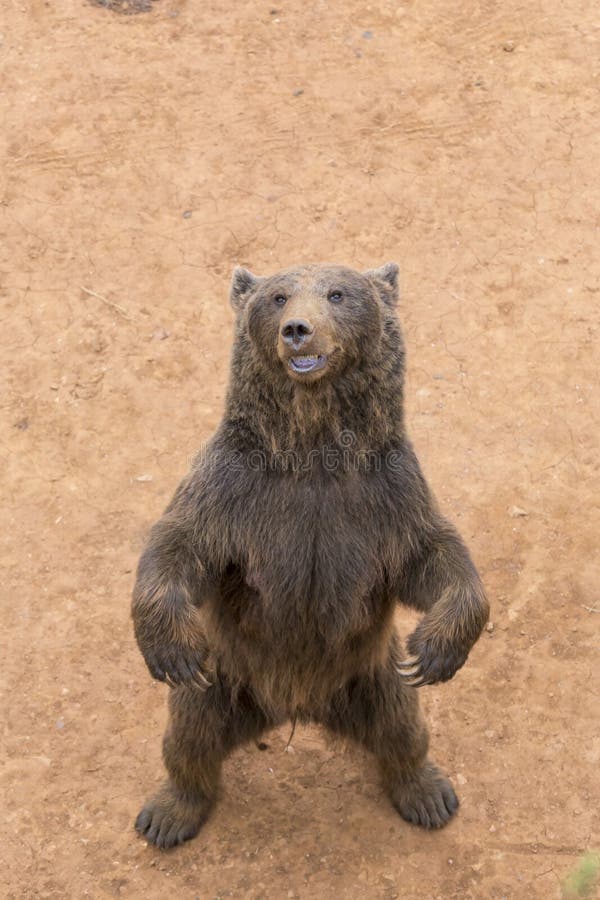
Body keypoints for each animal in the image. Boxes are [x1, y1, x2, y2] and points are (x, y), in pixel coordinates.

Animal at [132, 262, 489, 849]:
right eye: (278, 297)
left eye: (338, 293)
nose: (298, 329)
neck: (312, 448)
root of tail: (298, 706)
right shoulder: (234, 487)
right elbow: (181, 545)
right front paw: (170, 649)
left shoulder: (385, 494)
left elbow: (432, 558)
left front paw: (436, 649)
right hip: (226, 677)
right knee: (190, 736)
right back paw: (168, 813)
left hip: (371, 676)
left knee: (403, 728)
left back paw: (428, 794)